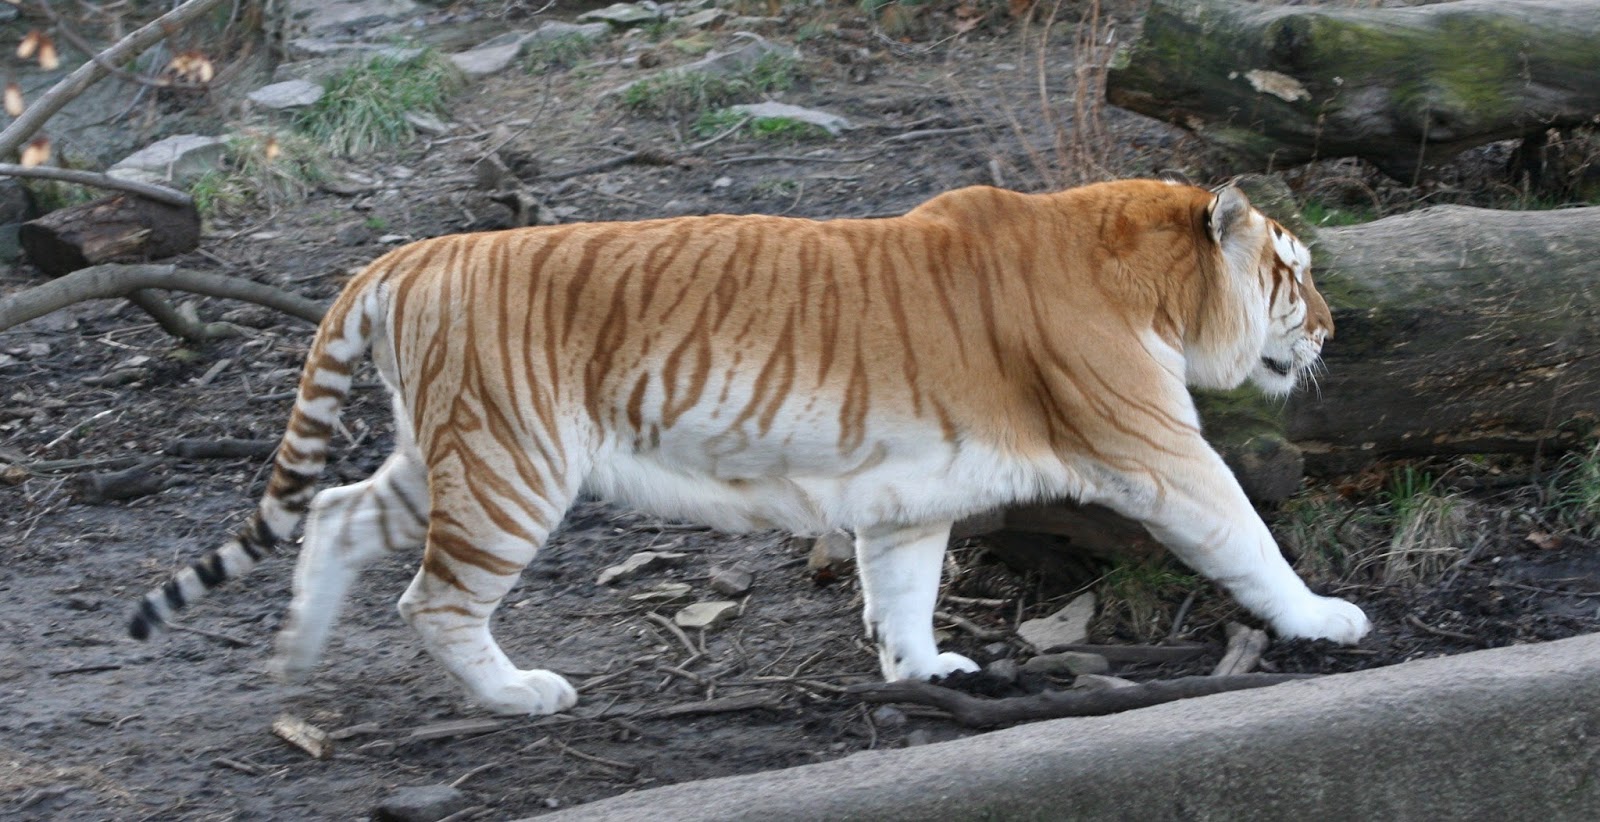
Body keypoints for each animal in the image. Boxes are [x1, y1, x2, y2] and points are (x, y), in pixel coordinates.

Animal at [128, 179, 1369, 716]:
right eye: (1292, 273)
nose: (1331, 329)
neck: (1149, 282)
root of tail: (407, 254)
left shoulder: (911, 491)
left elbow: (904, 586)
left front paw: (924, 672)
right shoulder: (1158, 449)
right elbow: (1245, 535)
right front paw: (1323, 620)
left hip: (449, 458)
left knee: (338, 515)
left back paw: (292, 661)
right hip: (508, 468)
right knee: (432, 601)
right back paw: (518, 694)